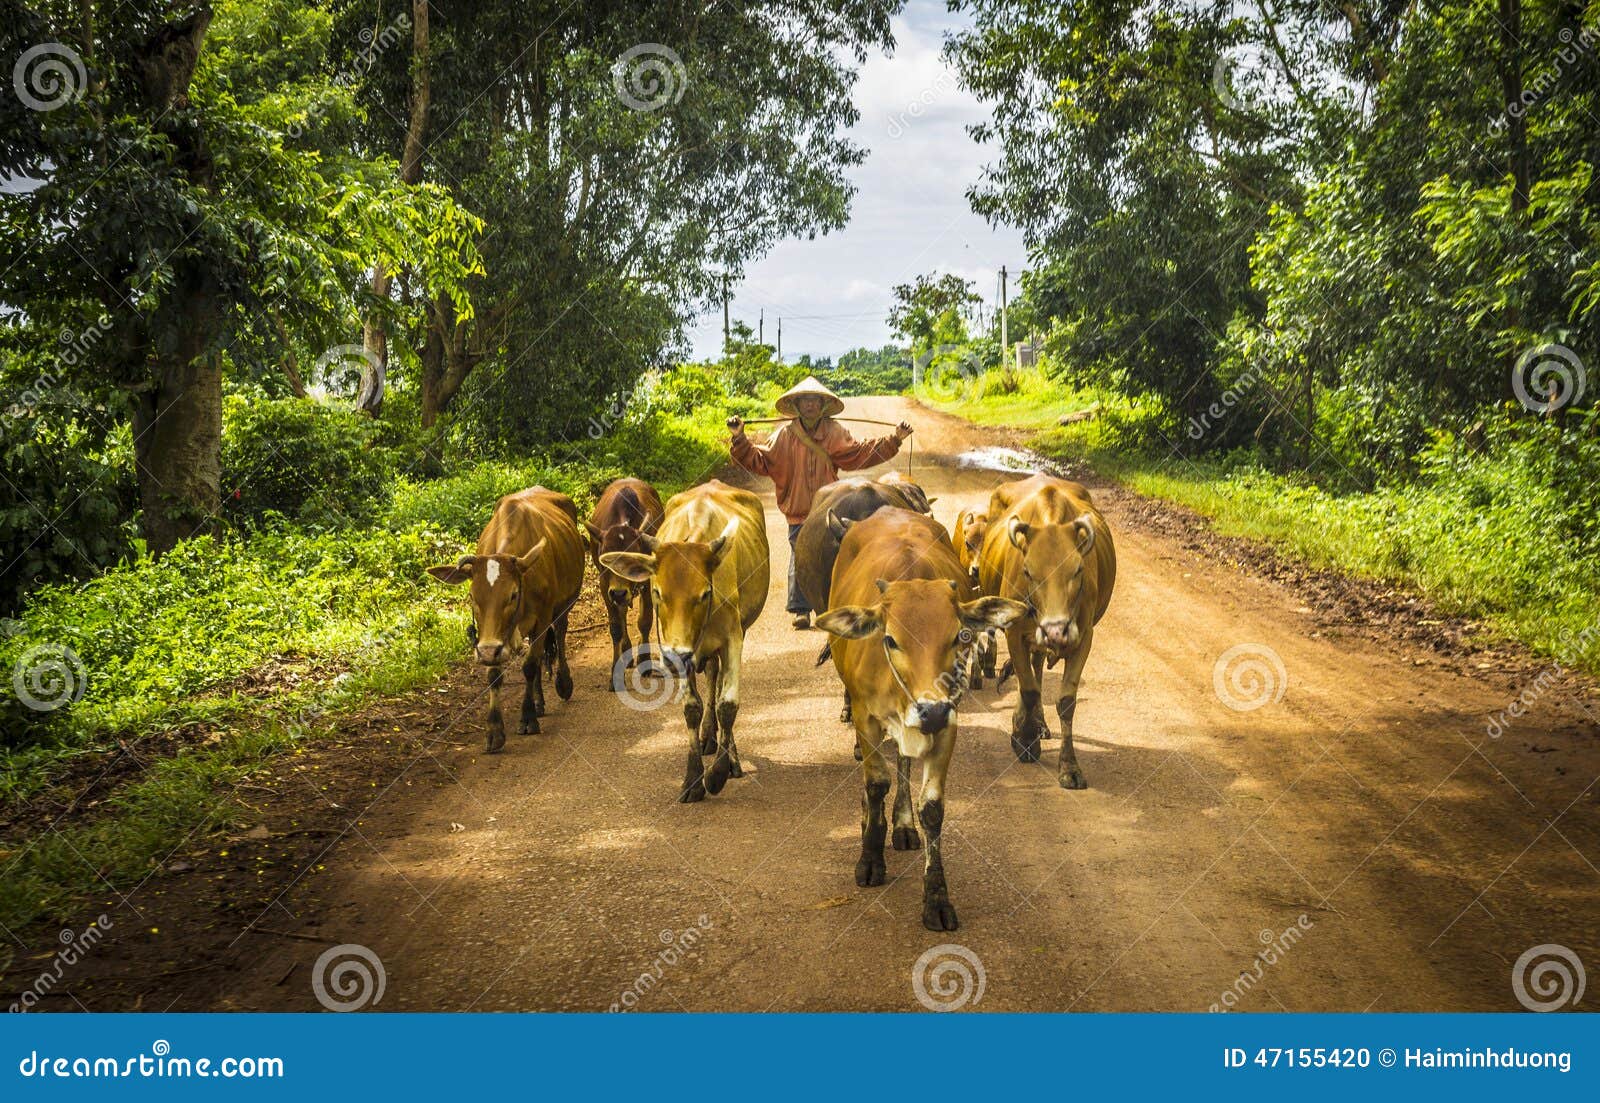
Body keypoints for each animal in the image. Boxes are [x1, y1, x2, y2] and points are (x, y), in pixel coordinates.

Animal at [427, 487, 586, 753]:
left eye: (512, 594)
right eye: (472, 596)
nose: (487, 650)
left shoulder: (542, 618)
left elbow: (530, 666)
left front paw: (528, 718)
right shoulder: (492, 638)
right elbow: (494, 675)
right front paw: (494, 730)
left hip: (566, 602)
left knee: (560, 634)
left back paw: (563, 684)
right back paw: (540, 702)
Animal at [584, 478, 665, 686]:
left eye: (632, 557)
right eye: (605, 558)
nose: (619, 592)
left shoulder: (646, 581)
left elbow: (645, 621)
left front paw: (644, 661)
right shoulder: (605, 585)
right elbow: (615, 628)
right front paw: (615, 674)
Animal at [601, 479, 769, 803]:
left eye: (705, 593)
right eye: (657, 592)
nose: (678, 655)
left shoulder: (732, 638)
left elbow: (728, 704)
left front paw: (717, 773)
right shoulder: (674, 646)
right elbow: (692, 707)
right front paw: (693, 779)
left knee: (719, 684)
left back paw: (728, 754)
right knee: (712, 677)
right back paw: (709, 737)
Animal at [817, 507, 1025, 930]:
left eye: (960, 636)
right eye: (890, 639)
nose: (931, 708)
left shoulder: (948, 723)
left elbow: (932, 807)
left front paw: (937, 898)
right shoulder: (866, 717)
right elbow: (875, 782)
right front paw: (870, 857)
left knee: (902, 760)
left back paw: (902, 824)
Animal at [978, 474, 1116, 789]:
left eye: (1078, 570)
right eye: (1028, 571)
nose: (1055, 630)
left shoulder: (1083, 637)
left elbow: (1066, 702)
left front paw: (1070, 766)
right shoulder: (1014, 633)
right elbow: (1028, 689)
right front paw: (1024, 738)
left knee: (1038, 665)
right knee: (1031, 674)